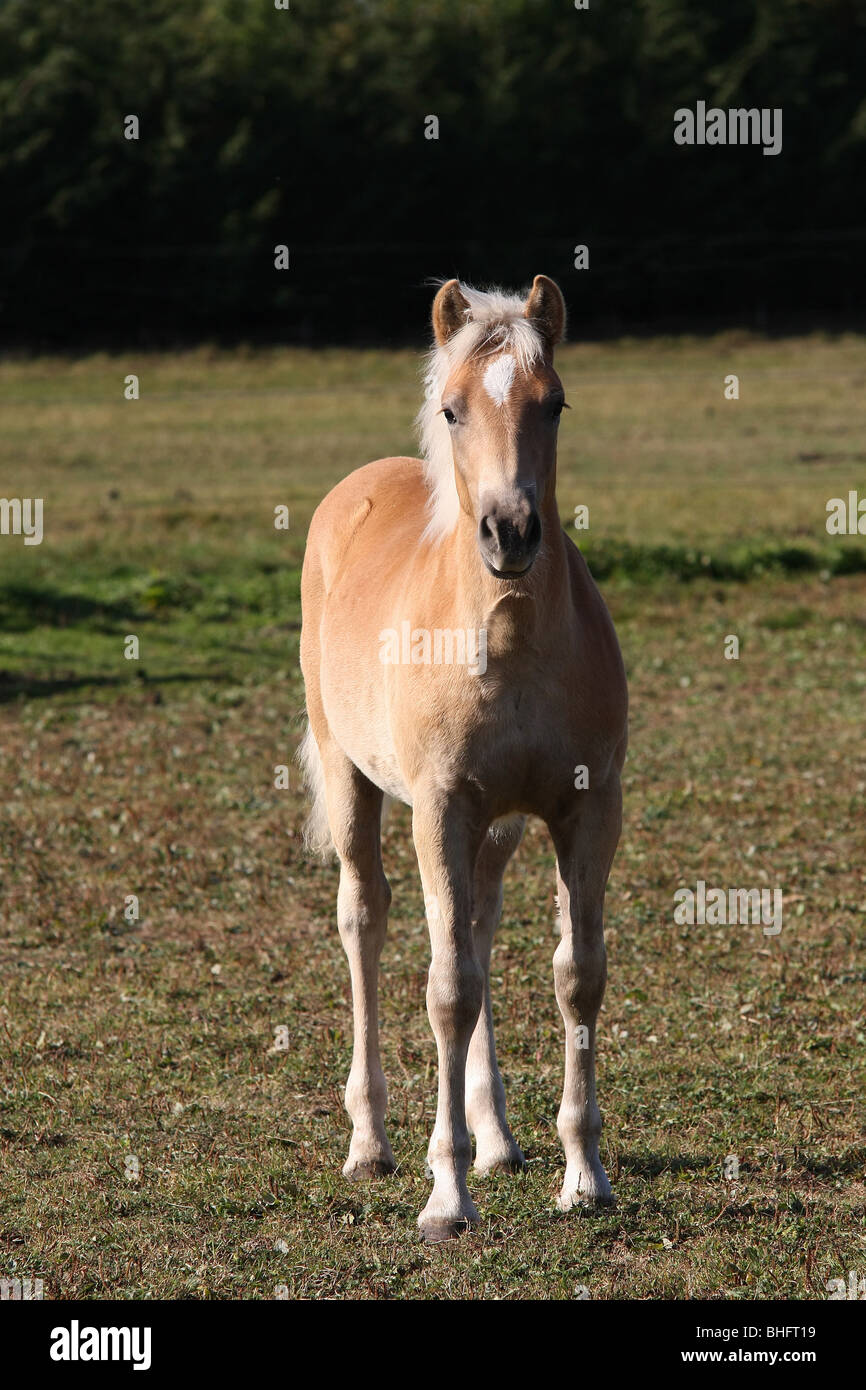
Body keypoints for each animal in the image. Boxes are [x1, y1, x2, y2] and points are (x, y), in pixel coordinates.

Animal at [299, 275, 628, 1242]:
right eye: (451, 409)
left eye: (554, 403)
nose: (509, 532)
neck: (507, 641)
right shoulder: (441, 807)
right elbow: (448, 989)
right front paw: (446, 1197)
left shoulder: (586, 809)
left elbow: (576, 976)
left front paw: (584, 1174)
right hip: (353, 780)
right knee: (365, 920)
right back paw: (370, 1142)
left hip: (497, 828)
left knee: (477, 926)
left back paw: (498, 1138)